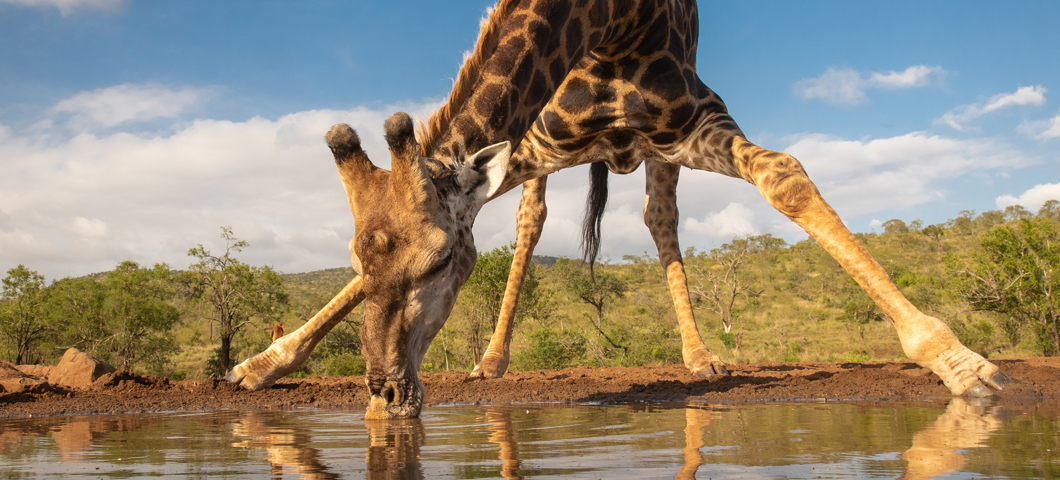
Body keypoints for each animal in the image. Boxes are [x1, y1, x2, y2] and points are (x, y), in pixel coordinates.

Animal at [226, 0, 1011, 419]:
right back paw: (491, 359)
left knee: (660, 220)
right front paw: (261, 365)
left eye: (440, 260)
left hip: (658, 153)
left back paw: (699, 357)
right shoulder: (530, 145)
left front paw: (959, 362)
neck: (608, 23)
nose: (387, 390)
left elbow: (784, 176)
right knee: (531, 225)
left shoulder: (696, 117)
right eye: (358, 257)